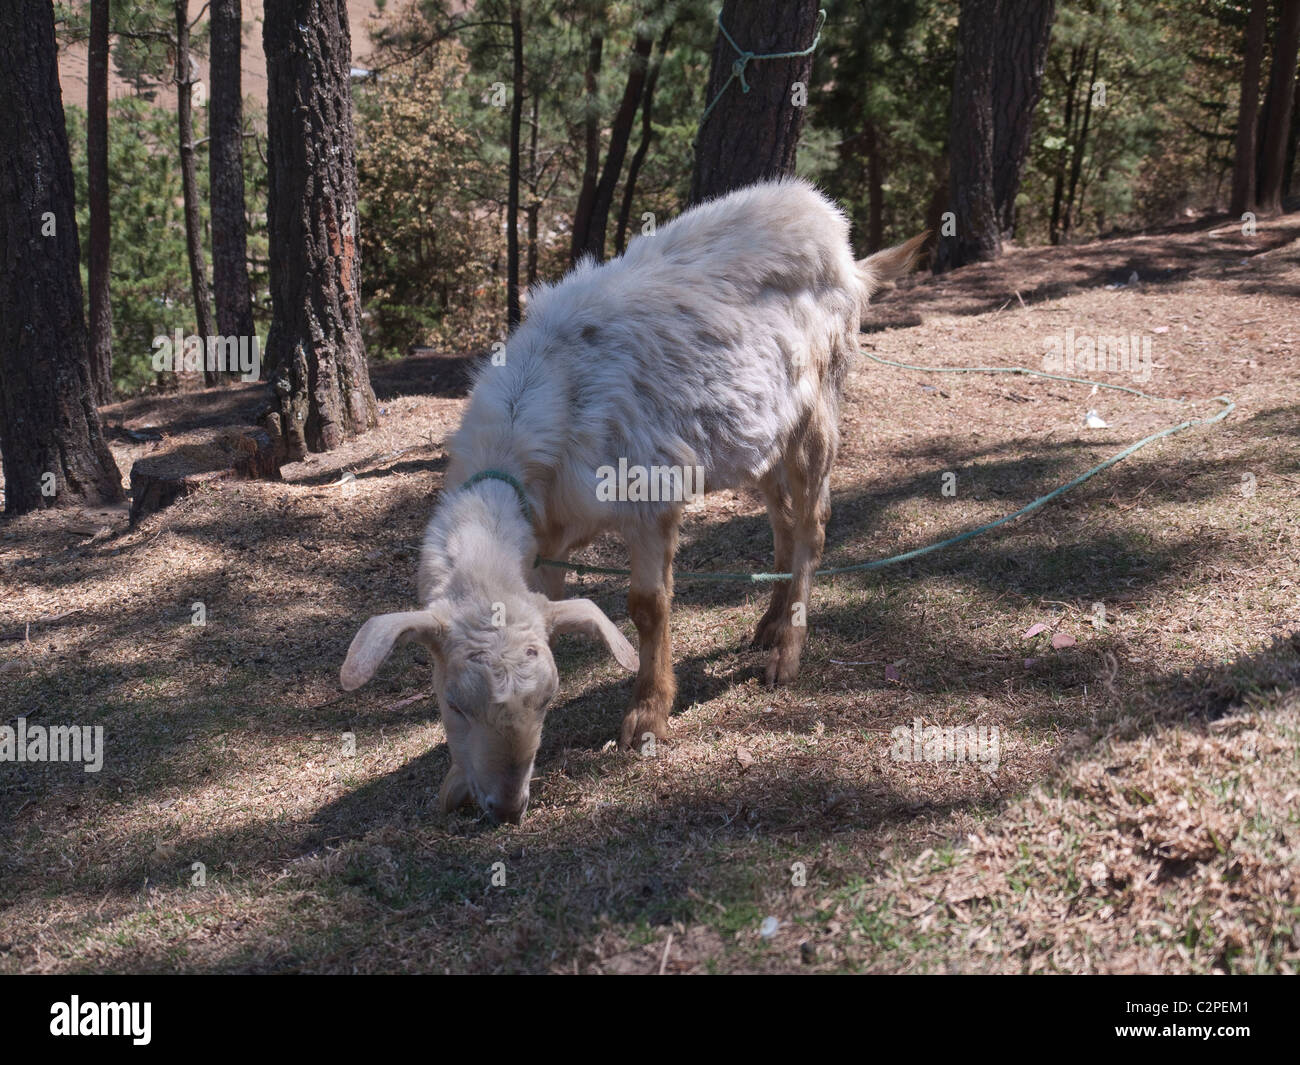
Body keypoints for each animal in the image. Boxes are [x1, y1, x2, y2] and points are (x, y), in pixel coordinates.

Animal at [342, 178, 925, 823]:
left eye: (546, 700)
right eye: (452, 703)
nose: (505, 805)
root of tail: (833, 230)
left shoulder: (649, 493)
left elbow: (647, 606)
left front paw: (648, 716)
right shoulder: (542, 543)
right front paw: (455, 781)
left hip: (818, 406)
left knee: (814, 526)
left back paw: (786, 655)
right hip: (761, 433)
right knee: (783, 521)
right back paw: (770, 624)